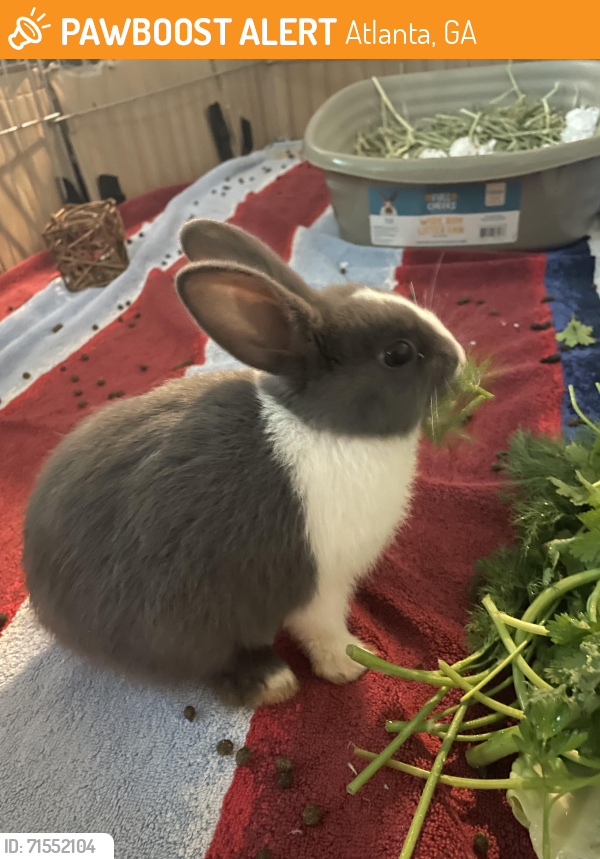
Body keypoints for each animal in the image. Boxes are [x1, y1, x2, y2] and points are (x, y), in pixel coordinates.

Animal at [23, 219, 465, 709]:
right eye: (398, 354)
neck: (325, 428)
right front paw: (352, 664)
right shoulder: (319, 585)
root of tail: (41, 593)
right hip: (181, 624)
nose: (459, 357)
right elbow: (325, 630)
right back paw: (274, 681)